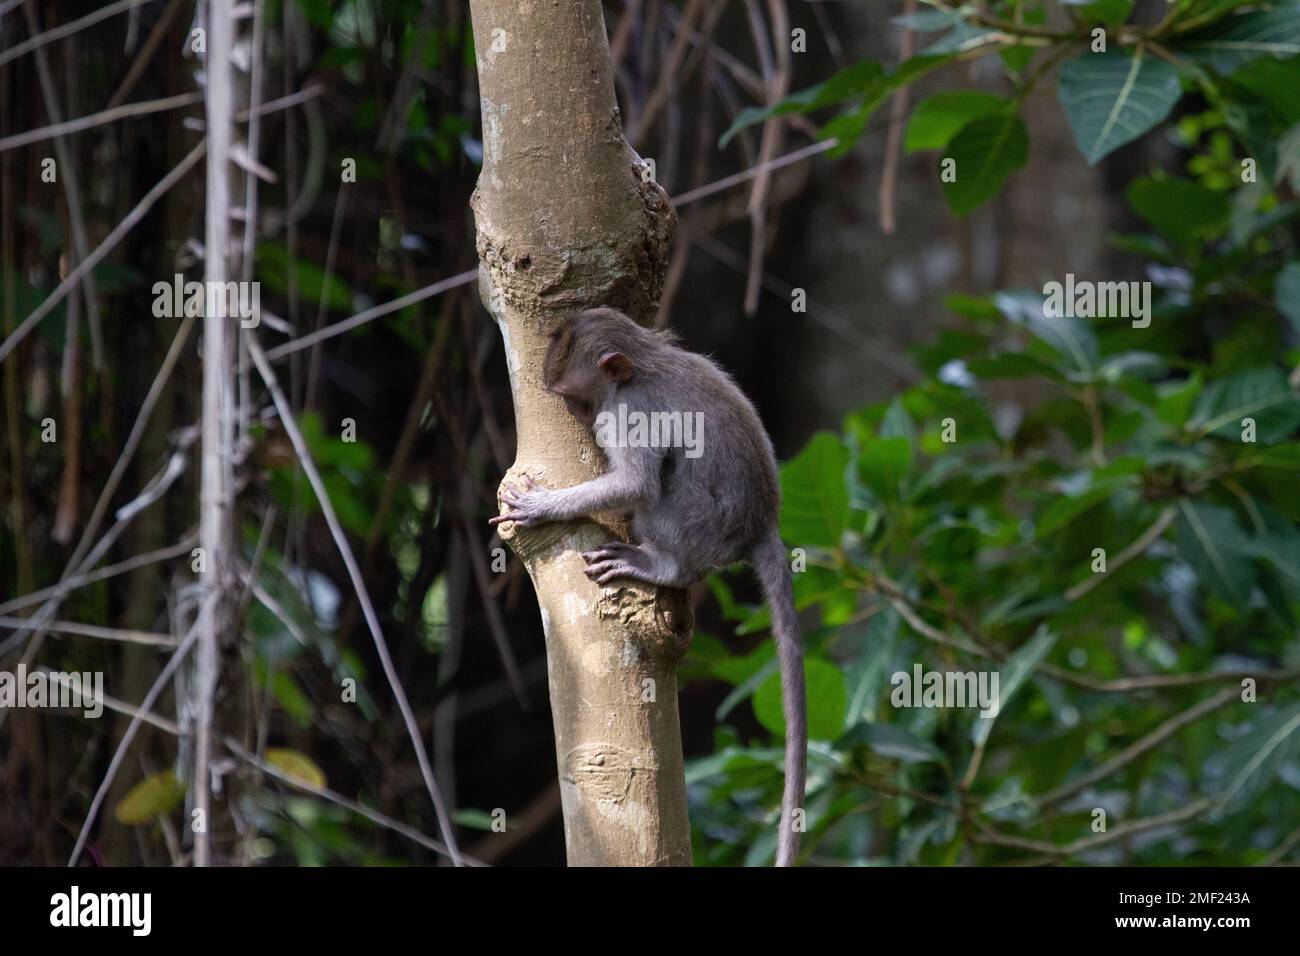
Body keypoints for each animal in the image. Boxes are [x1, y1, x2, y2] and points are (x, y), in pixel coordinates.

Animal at [489, 305, 806, 867]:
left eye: (576, 397)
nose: (577, 416)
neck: (640, 364)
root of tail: (761, 525)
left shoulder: (625, 412)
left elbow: (635, 483)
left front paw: (542, 507)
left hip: (699, 525)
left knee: (663, 488)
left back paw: (662, 565)